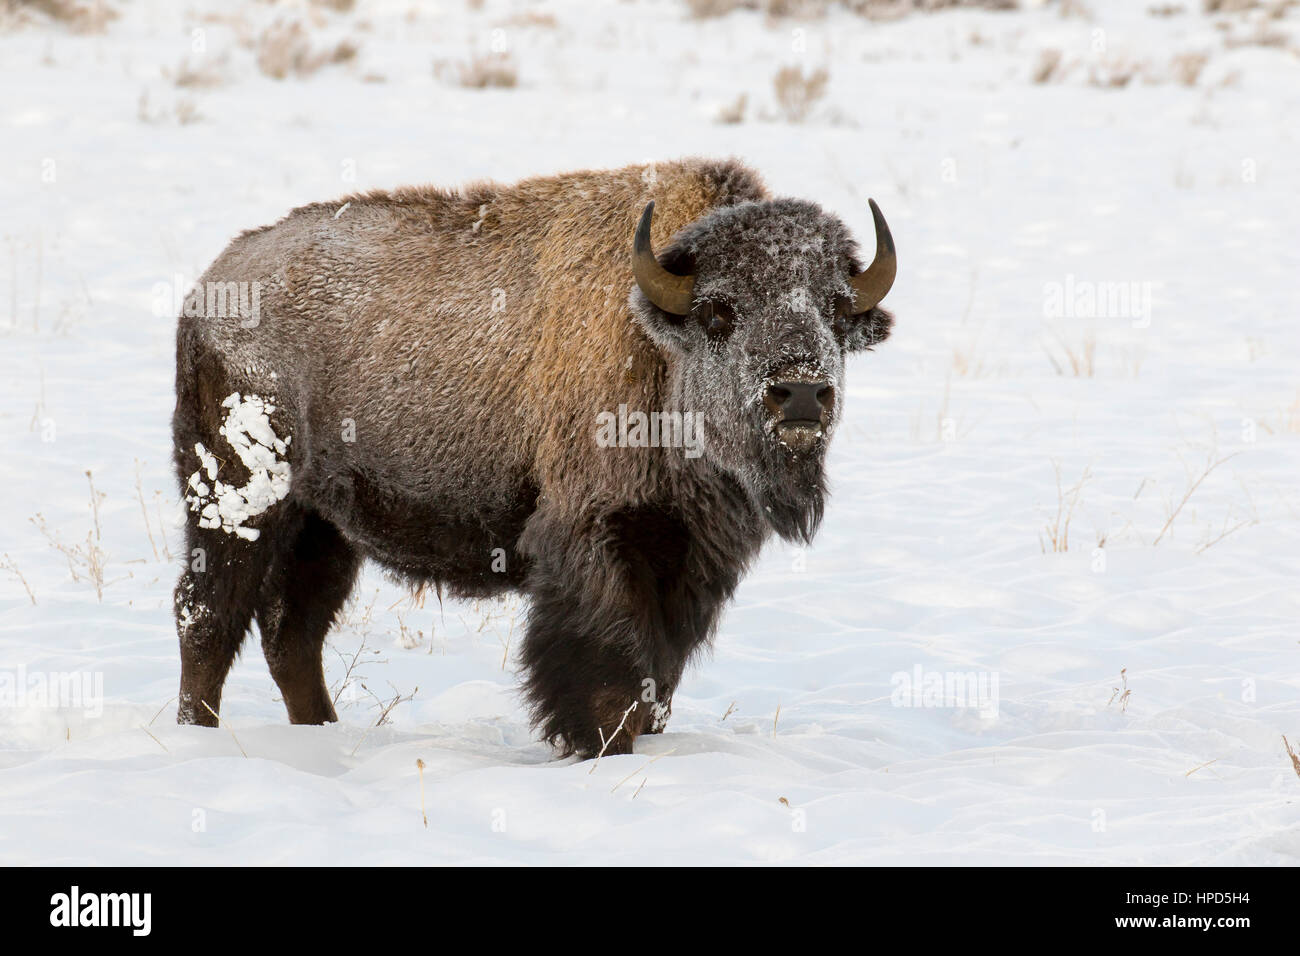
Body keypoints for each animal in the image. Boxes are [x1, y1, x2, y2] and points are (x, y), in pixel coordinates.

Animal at [171, 157, 896, 758]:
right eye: (720, 311)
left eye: (835, 310)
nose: (799, 392)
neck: (657, 341)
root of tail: (211, 288)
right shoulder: (598, 543)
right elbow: (608, 672)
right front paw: (601, 746)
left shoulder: (687, 563)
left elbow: (658, 672)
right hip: (237, 500)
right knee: (206, 619)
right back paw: (197, 734)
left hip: (324, 527)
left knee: (291, 632)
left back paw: (320, 732)